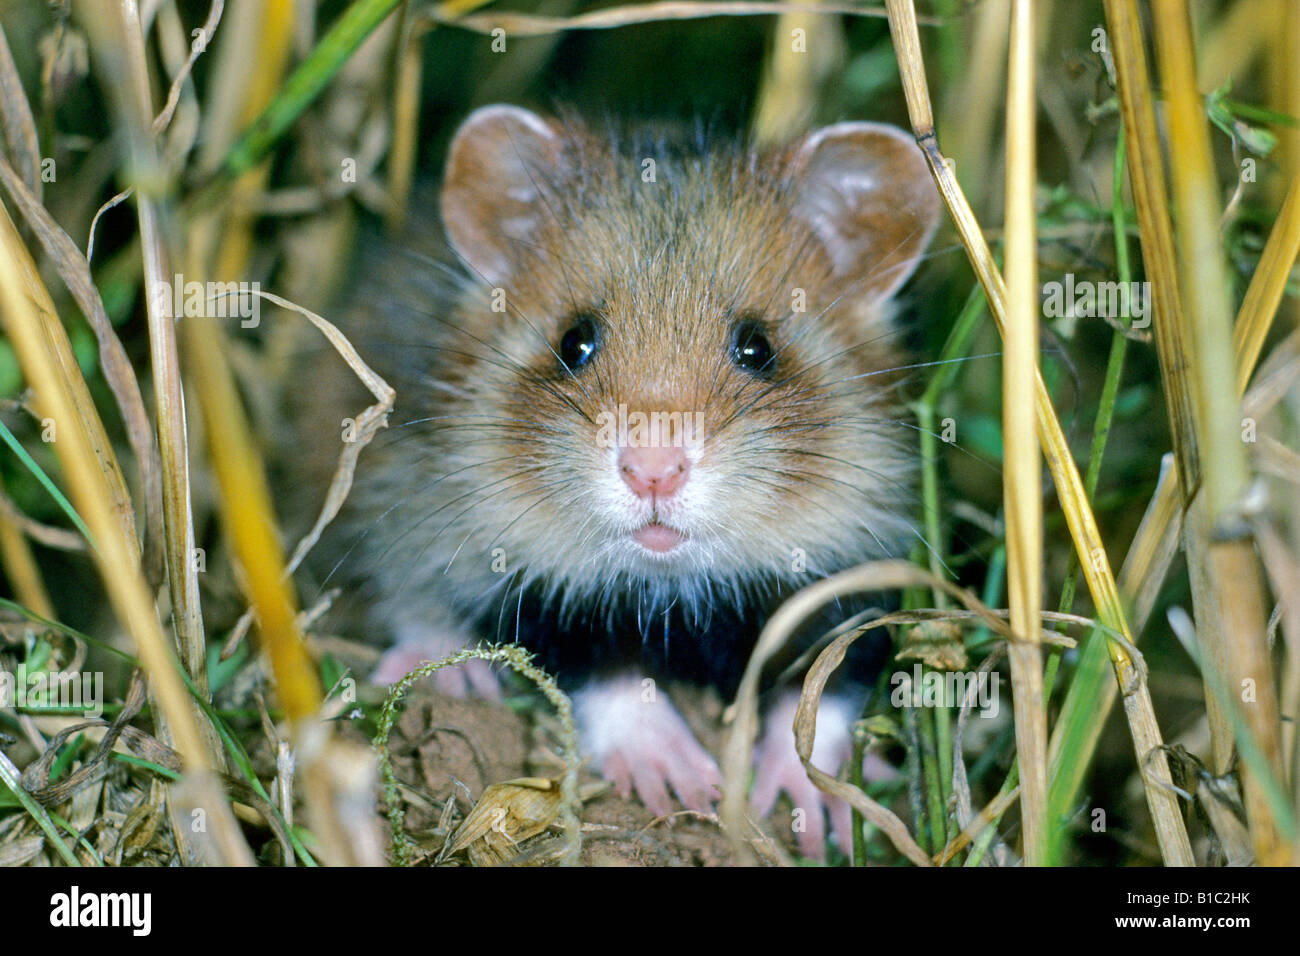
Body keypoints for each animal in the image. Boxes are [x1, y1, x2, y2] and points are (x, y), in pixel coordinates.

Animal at [330, 105, 941, 858]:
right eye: (573, 341)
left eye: (758, 347)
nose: (653, 470)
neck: (672, 587)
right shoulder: (536, 590)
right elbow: (607, 671)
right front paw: (682, 788)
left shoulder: (852, 577)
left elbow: (823, 689)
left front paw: (813, 809)